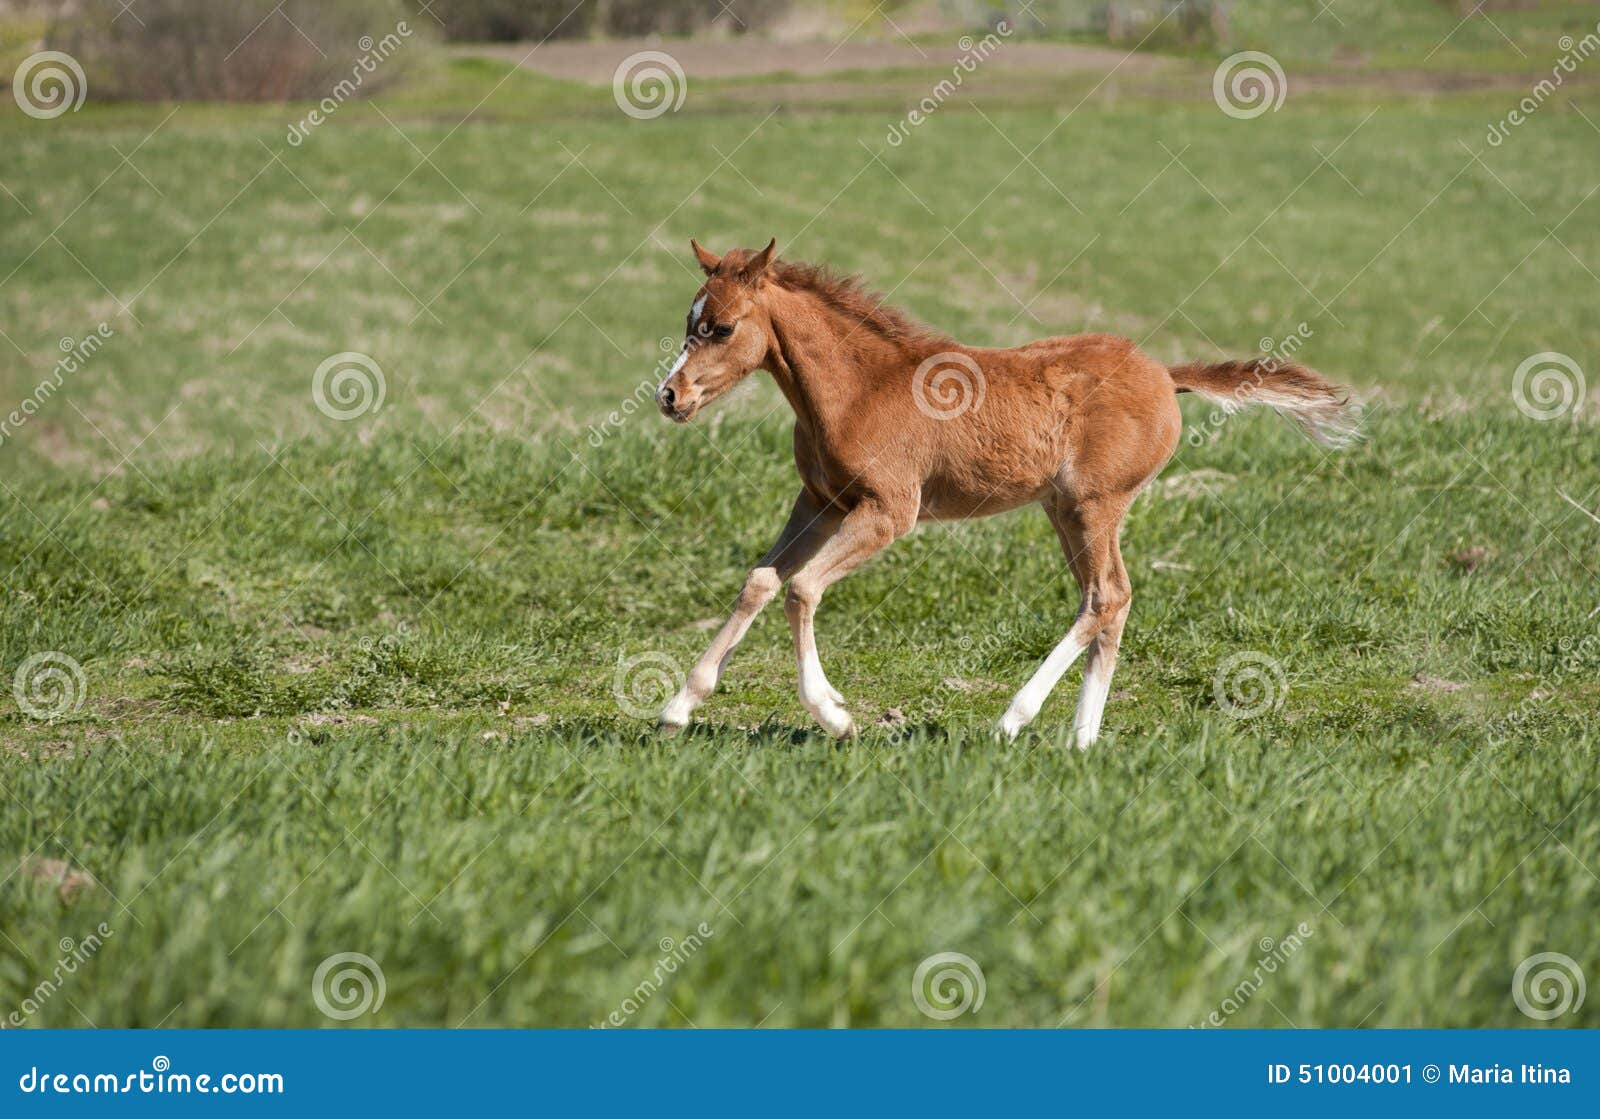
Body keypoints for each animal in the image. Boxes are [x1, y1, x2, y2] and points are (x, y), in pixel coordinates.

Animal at [651, 239, 1358, 744]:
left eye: (721, 327)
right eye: (690, 319)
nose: (670, 396)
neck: (859, 388)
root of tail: (1164, 373)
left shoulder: (888, 511)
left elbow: (801, 588)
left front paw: (835, 716)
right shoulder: (821, 503)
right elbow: (761, 581)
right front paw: (678, 706)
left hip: (1093, 505)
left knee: (1106, 597)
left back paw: (1013, 719)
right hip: (1064, 509)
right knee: (1111, 600)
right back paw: (1081, 738)